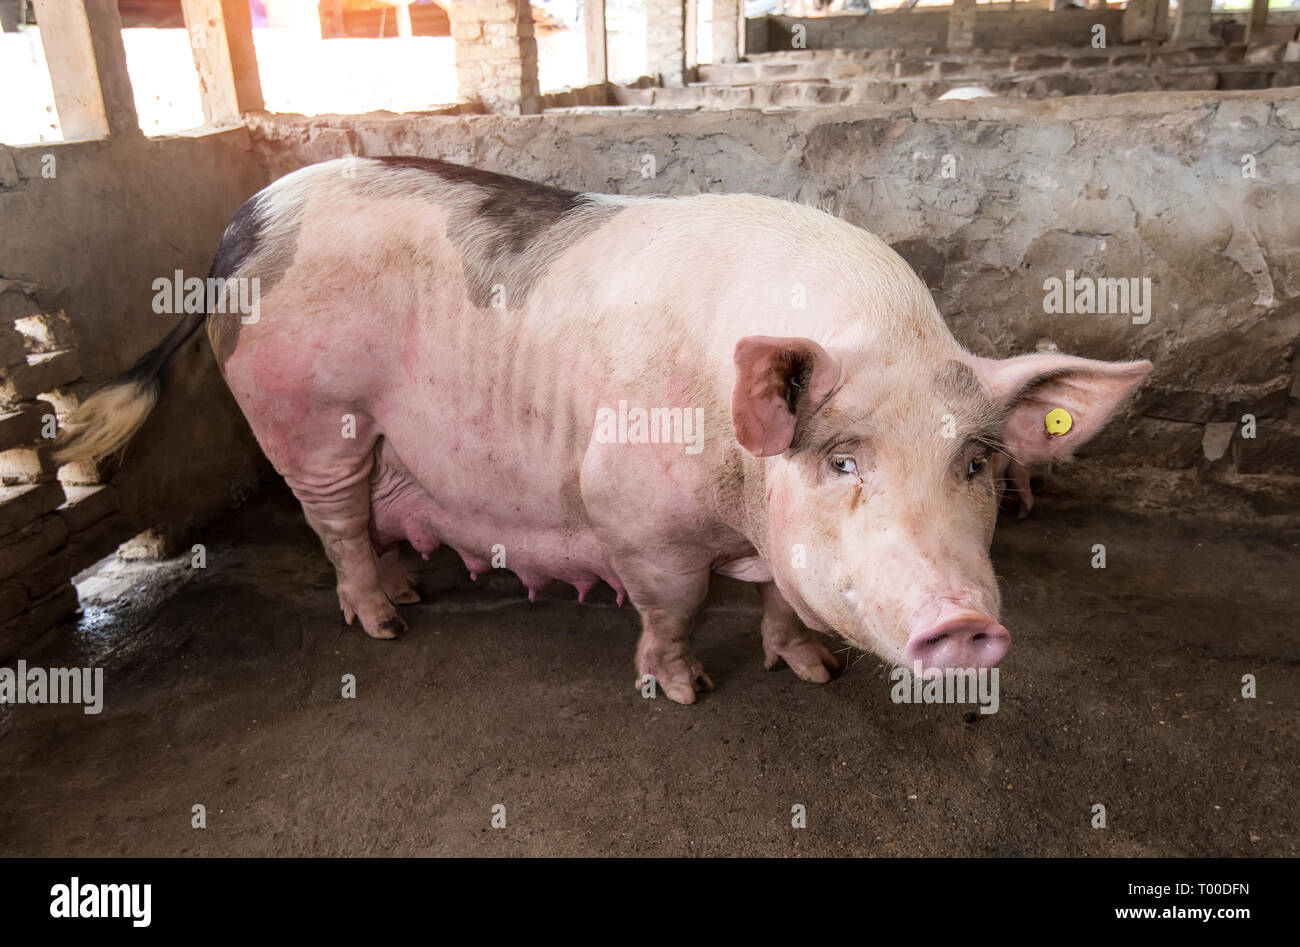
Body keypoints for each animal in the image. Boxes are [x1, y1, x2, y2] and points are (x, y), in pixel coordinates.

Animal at [57, 157, 1151, 704]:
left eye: (978, 460)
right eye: (843, 459)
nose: (966, 623)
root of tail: (236, 228)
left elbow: (787, 599)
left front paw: (813, 668)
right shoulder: (633, 513)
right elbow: (672, 604)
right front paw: (684, 689)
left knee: (365, 514)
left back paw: (409, 588)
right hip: (309, 411)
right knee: (332, 518)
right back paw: (387, 621)